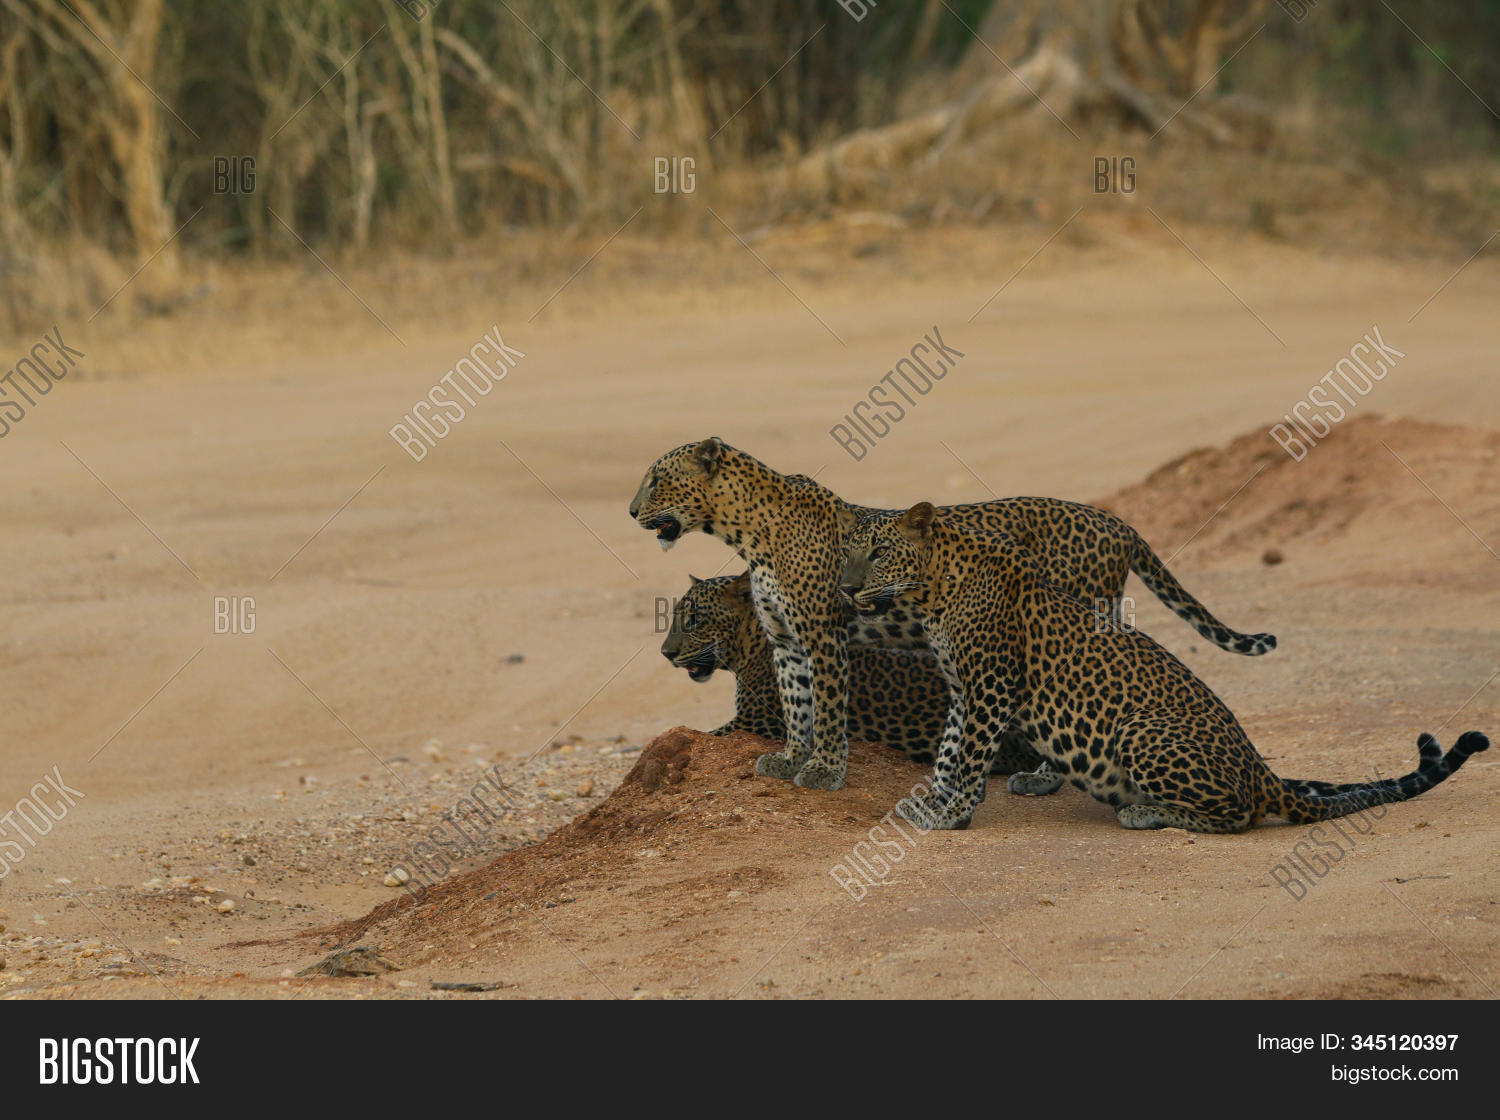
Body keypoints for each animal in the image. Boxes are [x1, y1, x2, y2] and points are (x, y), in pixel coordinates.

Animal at [839, 500, 1489, 832]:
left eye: (876, 552)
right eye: (844, 553)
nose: (844, 590)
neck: (932, 588)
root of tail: (1263, 772)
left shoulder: (991, 687)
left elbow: (970, 757)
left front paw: (949, 814)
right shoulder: (963, 690)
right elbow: (950, 751)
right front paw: (931, 801)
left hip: (1141, 732)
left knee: (1239, 816)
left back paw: (1144, 811)